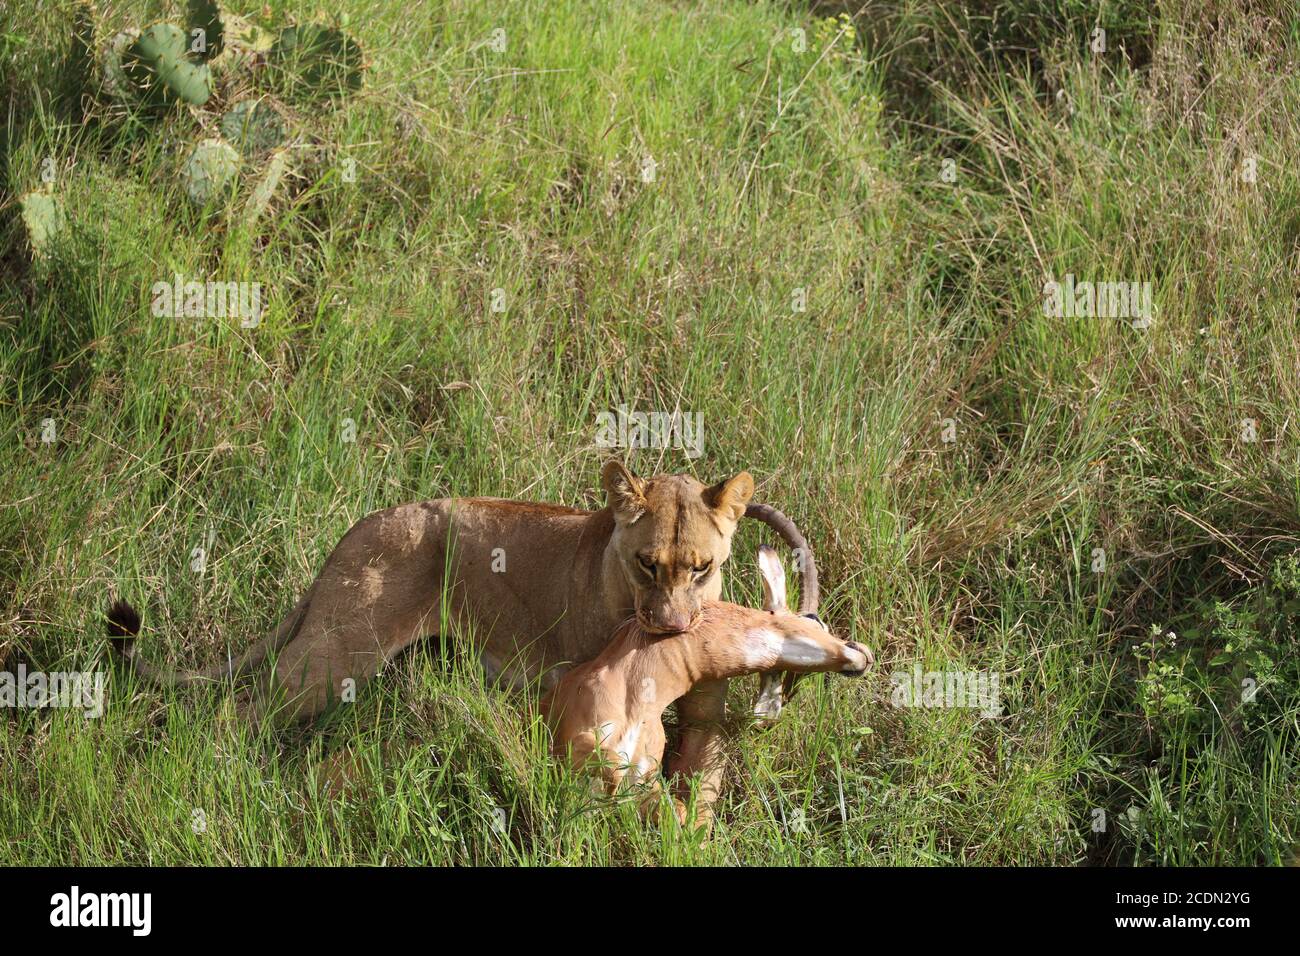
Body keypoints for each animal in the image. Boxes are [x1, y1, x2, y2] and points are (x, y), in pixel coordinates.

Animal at [106, 460, 817, 819]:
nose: (670, 629)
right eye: (647, 564)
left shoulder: (704, 722)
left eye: (701, 568)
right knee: (238, 712)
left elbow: (701, 794)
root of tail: (354, 531)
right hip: (336, 655)